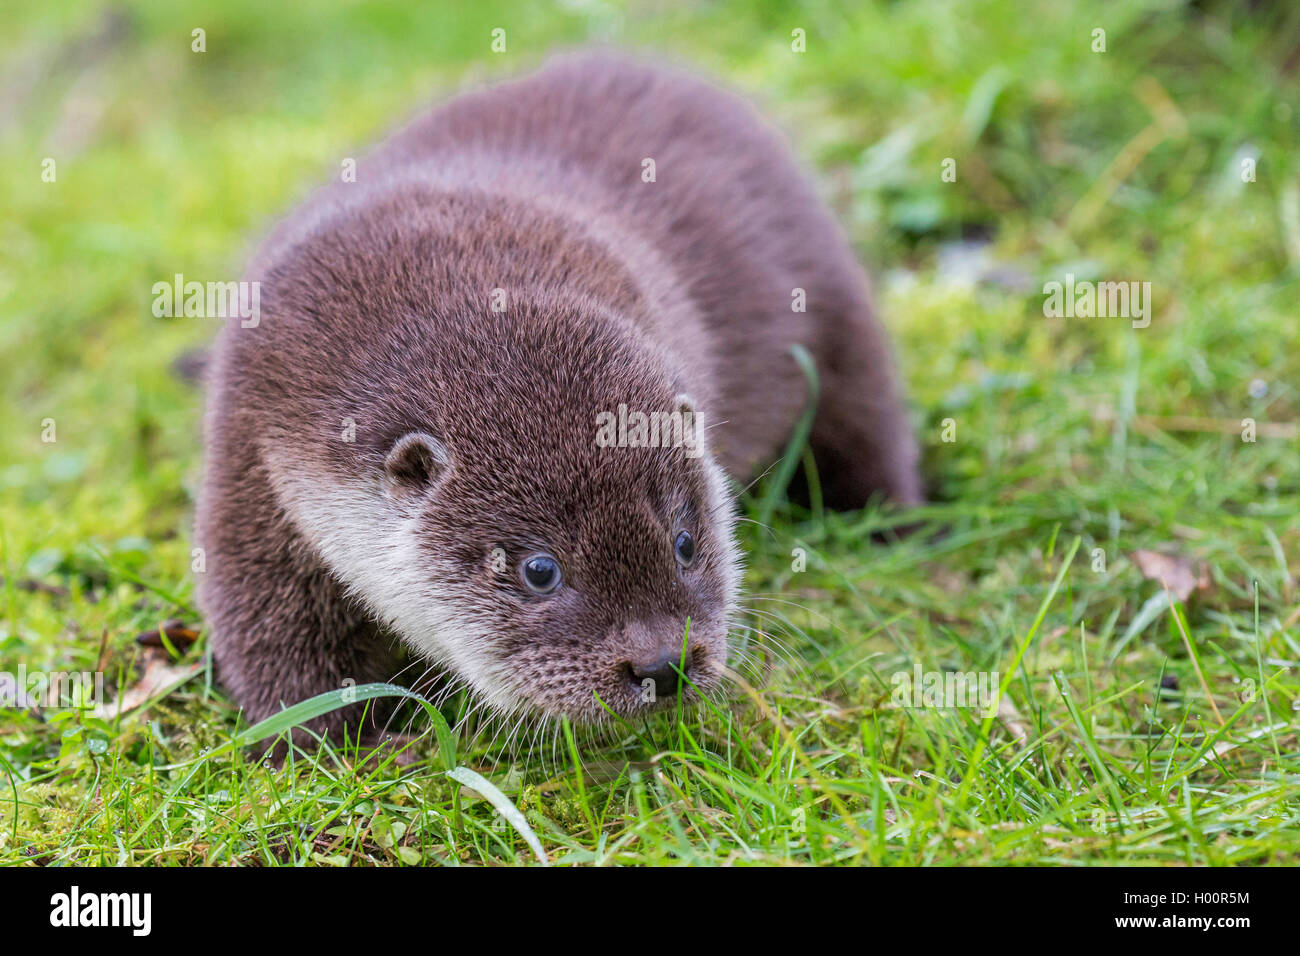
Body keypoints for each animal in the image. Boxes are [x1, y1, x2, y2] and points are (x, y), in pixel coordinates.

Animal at [196, 52, 921, 745]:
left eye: (685, 542)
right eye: (539, 570)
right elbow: (269, 621)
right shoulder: (254, 441)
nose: (663, 665)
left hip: (832, 304)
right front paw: (334, 744)